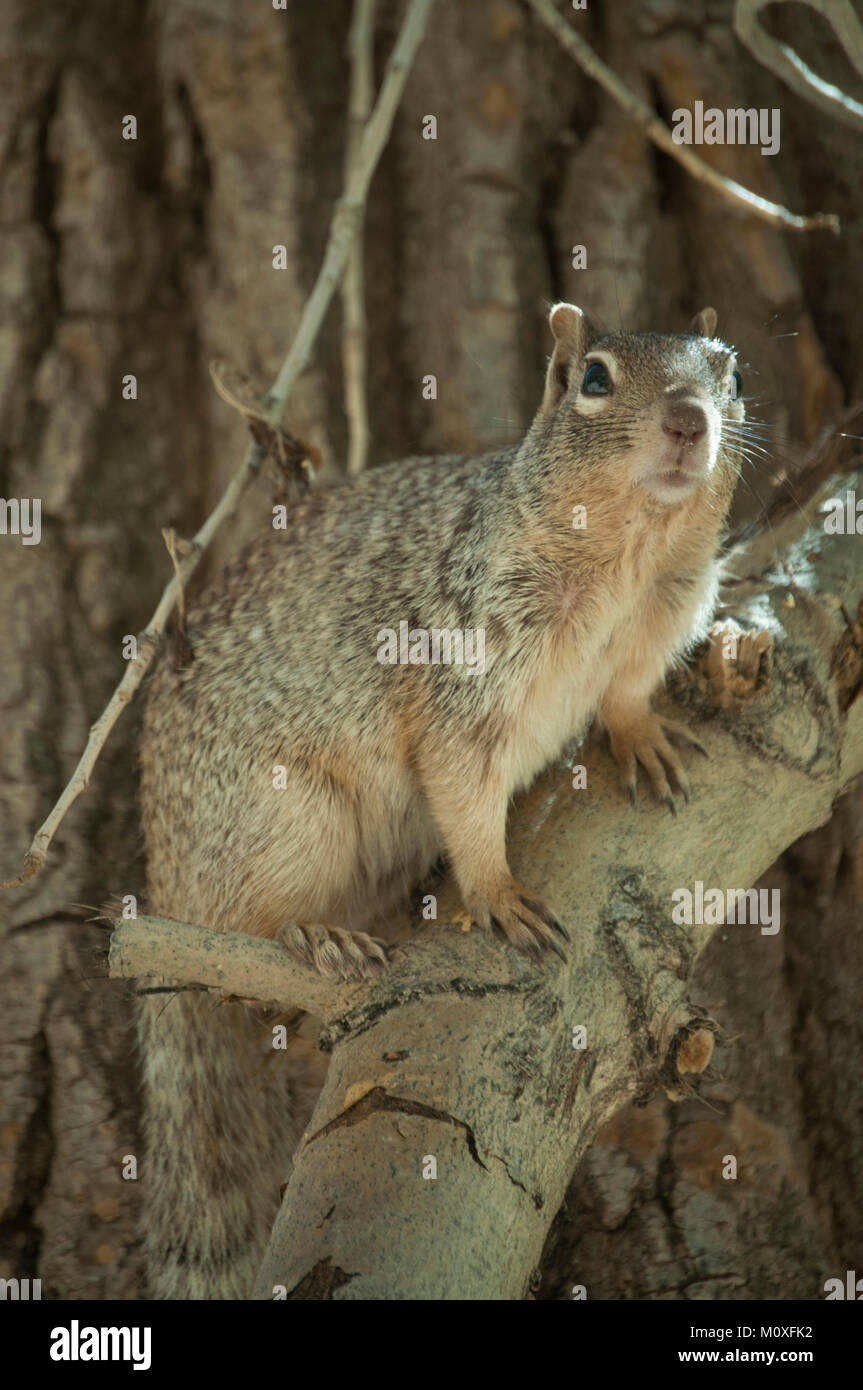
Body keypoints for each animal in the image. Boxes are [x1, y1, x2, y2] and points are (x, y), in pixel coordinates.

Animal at [137, 302, 743, 1297]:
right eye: (594, 380)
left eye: (730, 372)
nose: (691, 420)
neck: (625, 556)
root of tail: (161, 880)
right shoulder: (461, 667)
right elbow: (462, 785)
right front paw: (496, 894)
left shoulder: (658, 621)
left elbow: (623, 695)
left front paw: (642, 736)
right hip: (281, 821)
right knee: (241, 927)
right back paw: (313, 936)